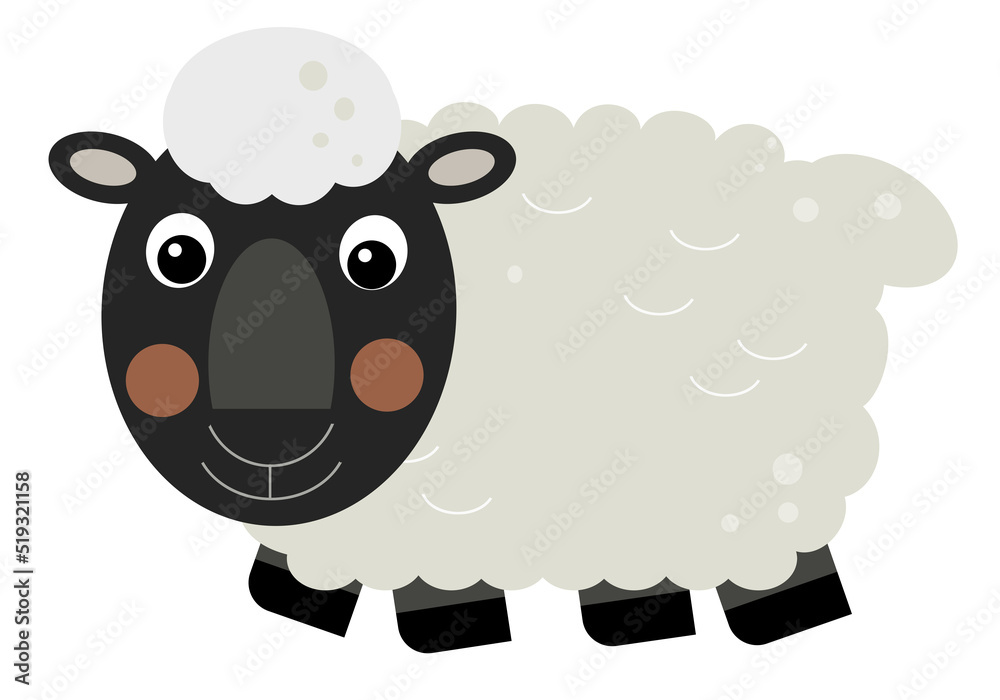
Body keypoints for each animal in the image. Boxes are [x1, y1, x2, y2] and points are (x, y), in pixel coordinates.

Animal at [48, 28, 956, 652]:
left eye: (373, 258)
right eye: (176, 254)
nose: (270, 435)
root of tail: (831, 196)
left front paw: (450, 632)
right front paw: (316, 608)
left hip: (762, 461)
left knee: (780, 550)